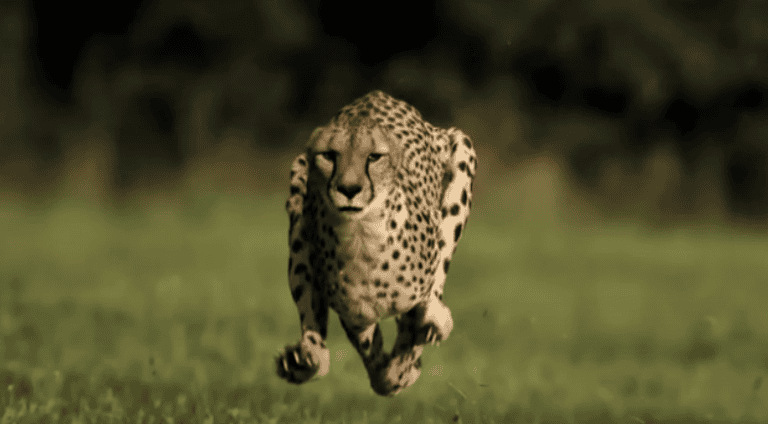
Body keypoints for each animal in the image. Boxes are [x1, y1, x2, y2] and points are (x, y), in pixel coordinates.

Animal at [276, 90, 477, 396]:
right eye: (329, 155)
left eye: (374, 157)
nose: (348, 189)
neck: (363, 235)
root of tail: (378, 95)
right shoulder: (356, 315)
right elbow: (374, 352)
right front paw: (394, 374)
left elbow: (412, 331)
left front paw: (405, 369)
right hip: (298, 201)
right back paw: (305, 359)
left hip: (460, 149)